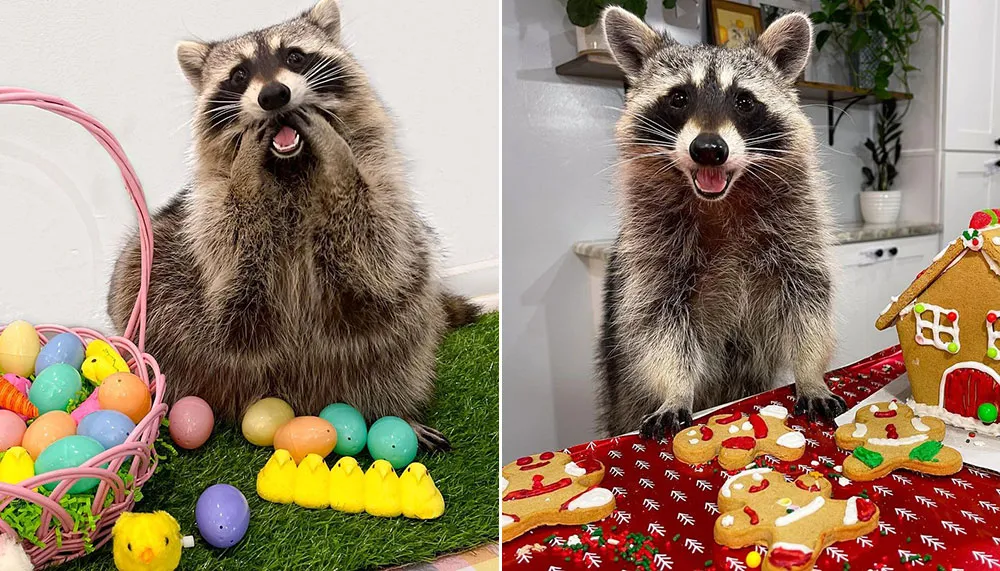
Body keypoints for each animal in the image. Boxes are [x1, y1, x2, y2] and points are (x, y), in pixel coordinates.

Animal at [107, 0, 478, 450]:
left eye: (295, 57)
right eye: (239, 74)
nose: (273, 95)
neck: (290, 166)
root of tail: (302, 397)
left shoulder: (383, 176)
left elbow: (377, 247)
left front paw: (338, 162)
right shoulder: (206, 216)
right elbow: (231, 263)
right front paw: (246, 174)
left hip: (392, 329)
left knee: (400, 329)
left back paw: (390, 409)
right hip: (161, 289)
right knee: (139, 280)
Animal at [596, 10, 847, 440]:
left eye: (744, 100)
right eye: (679, 98)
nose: (709, 149)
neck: (720, 201)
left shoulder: (798, 230)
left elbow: (808, 303)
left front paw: (810, 373)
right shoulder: (652, 251)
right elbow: (659, 323)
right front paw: (675, 388)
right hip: (621, 389)